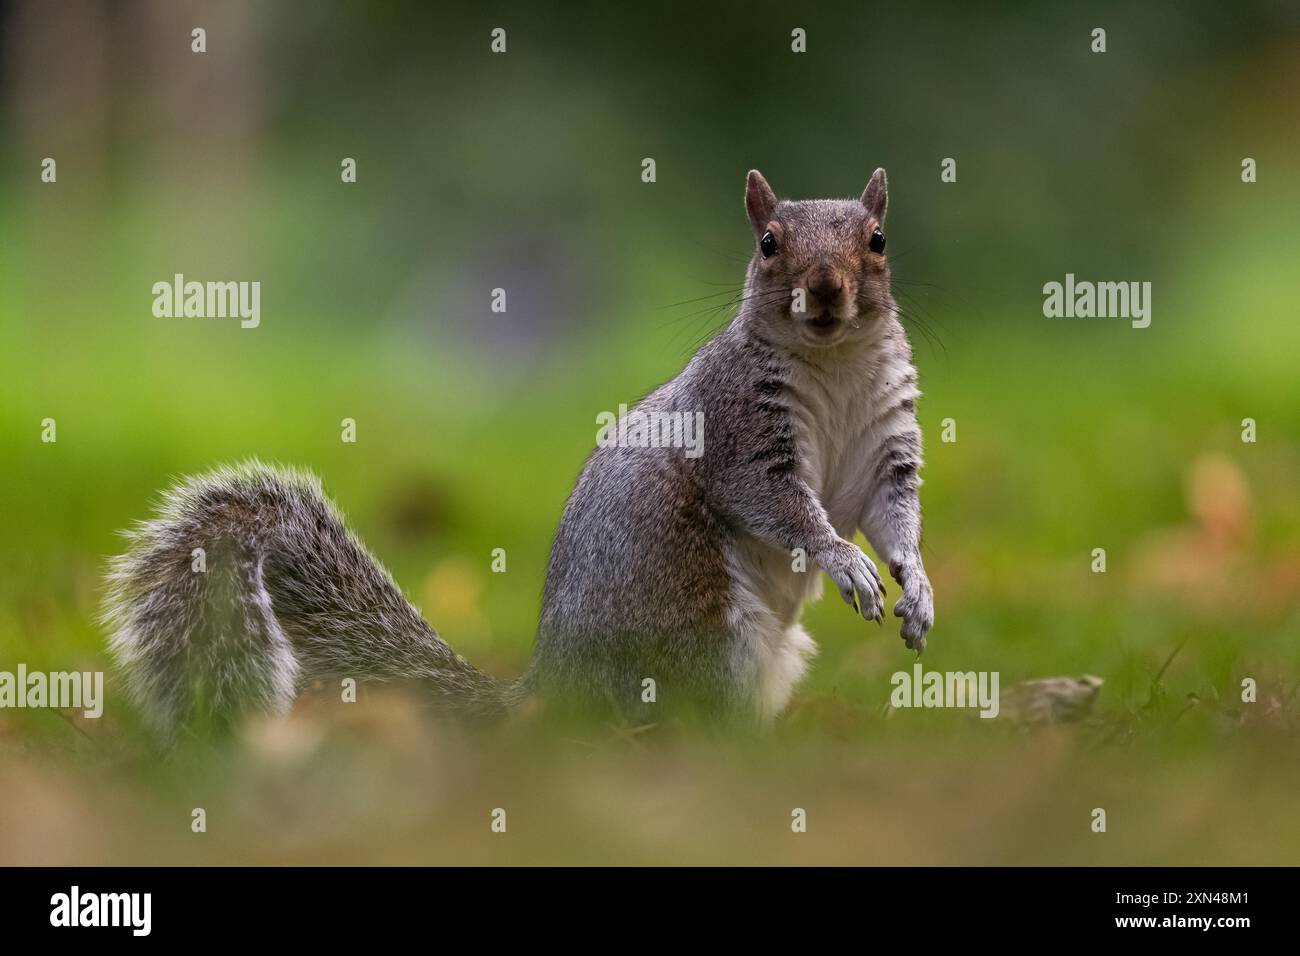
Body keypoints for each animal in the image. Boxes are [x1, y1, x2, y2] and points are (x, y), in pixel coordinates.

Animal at [103, 168, 934, 735]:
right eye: (767, 245)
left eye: (878, 241)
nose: (823, 288)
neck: (832, 364)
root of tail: (550, 695)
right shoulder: (738, 431)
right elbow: (775, 503)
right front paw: (843, 560)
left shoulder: (885, 448)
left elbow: (889, 513)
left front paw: (915, 585)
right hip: (703, 625)